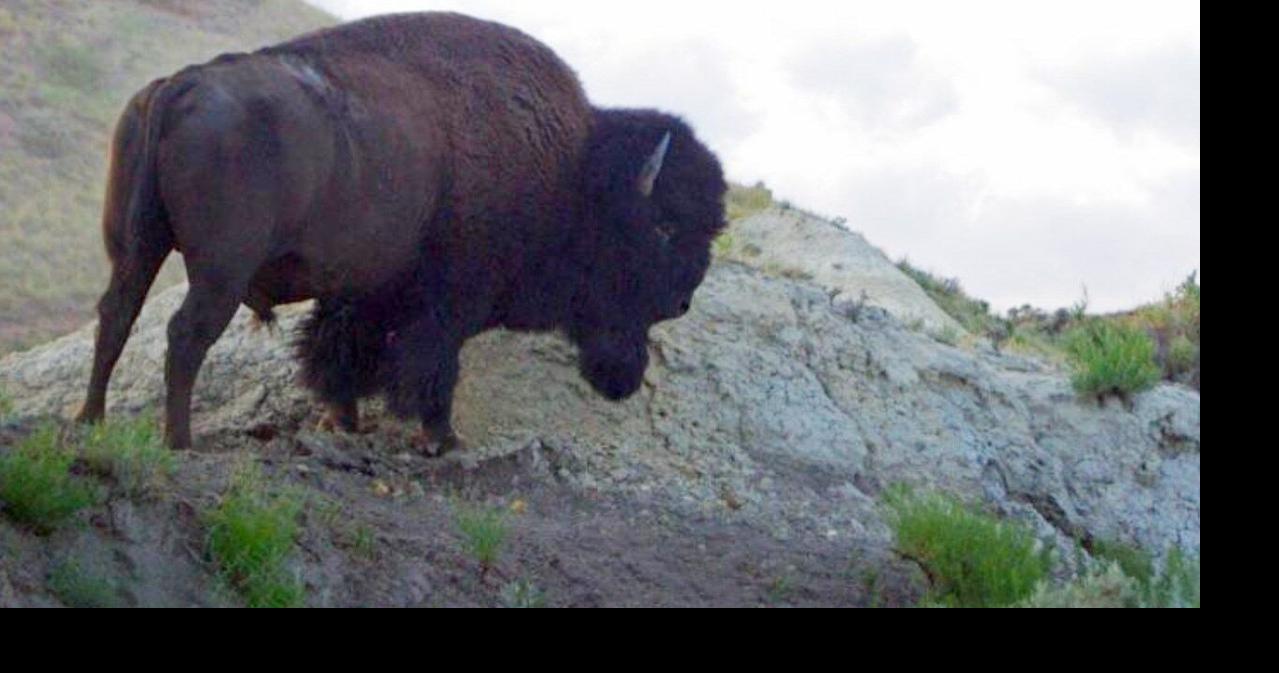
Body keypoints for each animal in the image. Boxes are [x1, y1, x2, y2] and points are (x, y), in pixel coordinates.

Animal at [77, 12, 727, 451]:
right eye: (665, 224)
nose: (682, 301)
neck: (573, 168)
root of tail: (177, 86)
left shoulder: (360, 292)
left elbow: (337, 352)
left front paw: (342, 420)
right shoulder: (446, 302)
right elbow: (431, 365)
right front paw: (442, 438)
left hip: (137, 246)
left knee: (116, 316)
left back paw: (91, 422)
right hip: (220, 271)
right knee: (185, 334)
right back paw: (179, 441)